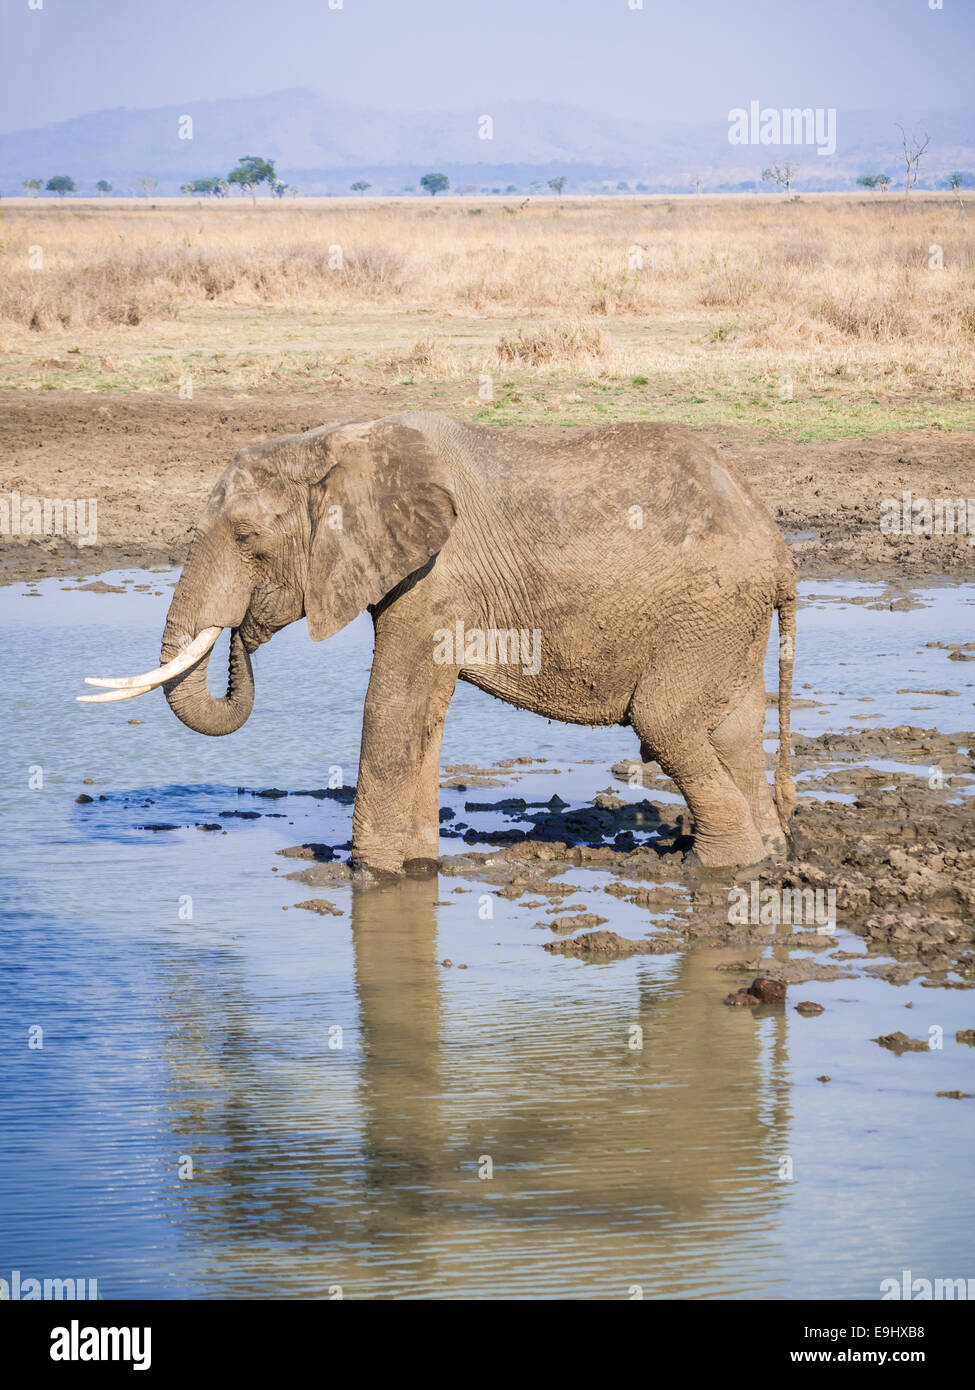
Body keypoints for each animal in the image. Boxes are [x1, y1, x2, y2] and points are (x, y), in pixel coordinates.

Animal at [80, 412, 797, 873]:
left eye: (248, 538)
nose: (244, 635)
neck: (335, 441)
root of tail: (777, 543)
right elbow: (425, 713)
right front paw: (418, 866)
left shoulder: (434, 579)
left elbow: (392, 706)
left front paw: (369, 875)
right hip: (727, 621)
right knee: (734, 726)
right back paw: (766, 853)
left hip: (706, 610)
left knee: (663, 719)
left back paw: (717, 865)